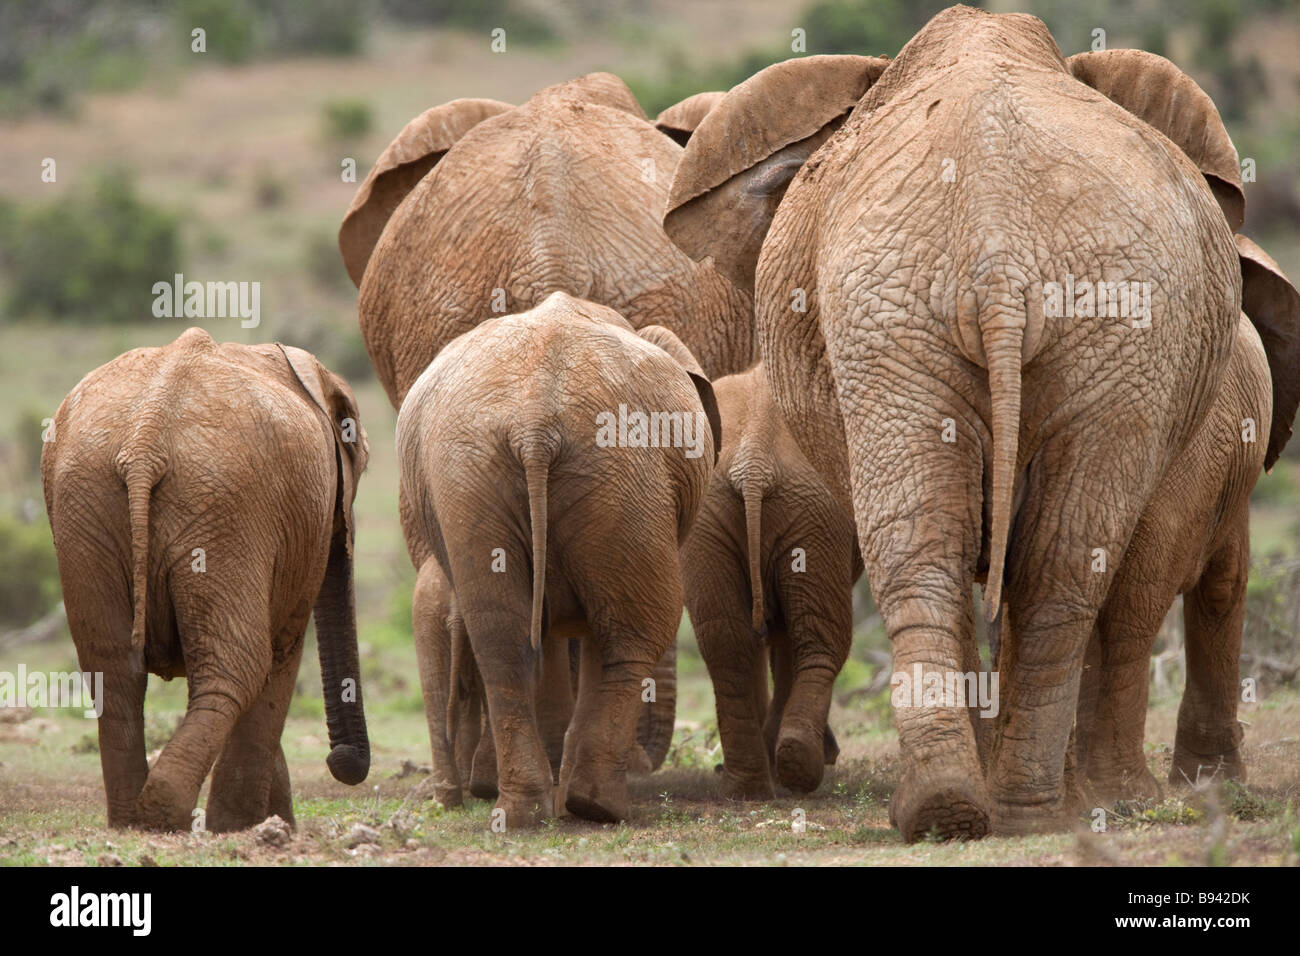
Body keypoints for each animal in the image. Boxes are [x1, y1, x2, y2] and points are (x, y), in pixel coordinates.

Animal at [41, 327, 370, 832]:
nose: (343, 762)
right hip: (227, 508)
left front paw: (268, 825)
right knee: (240, 663)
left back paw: (133, 821)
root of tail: (144, 442)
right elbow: (281, 653)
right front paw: (250, 828)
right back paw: (168, 815)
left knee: (112, 668)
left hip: (87, 504)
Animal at [396, 292, 719, 826]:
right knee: (635, 633)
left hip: (476, 475)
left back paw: (523, 812)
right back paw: (597, 808)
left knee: (503, 638)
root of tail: (535, 424)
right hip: (621, 472)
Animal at [681, 362, 861, 798]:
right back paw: (800, 769)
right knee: (820, 637)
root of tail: (754, 462)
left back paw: (745, 786)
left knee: (725, 641)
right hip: (816, 517)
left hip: (711, 517)